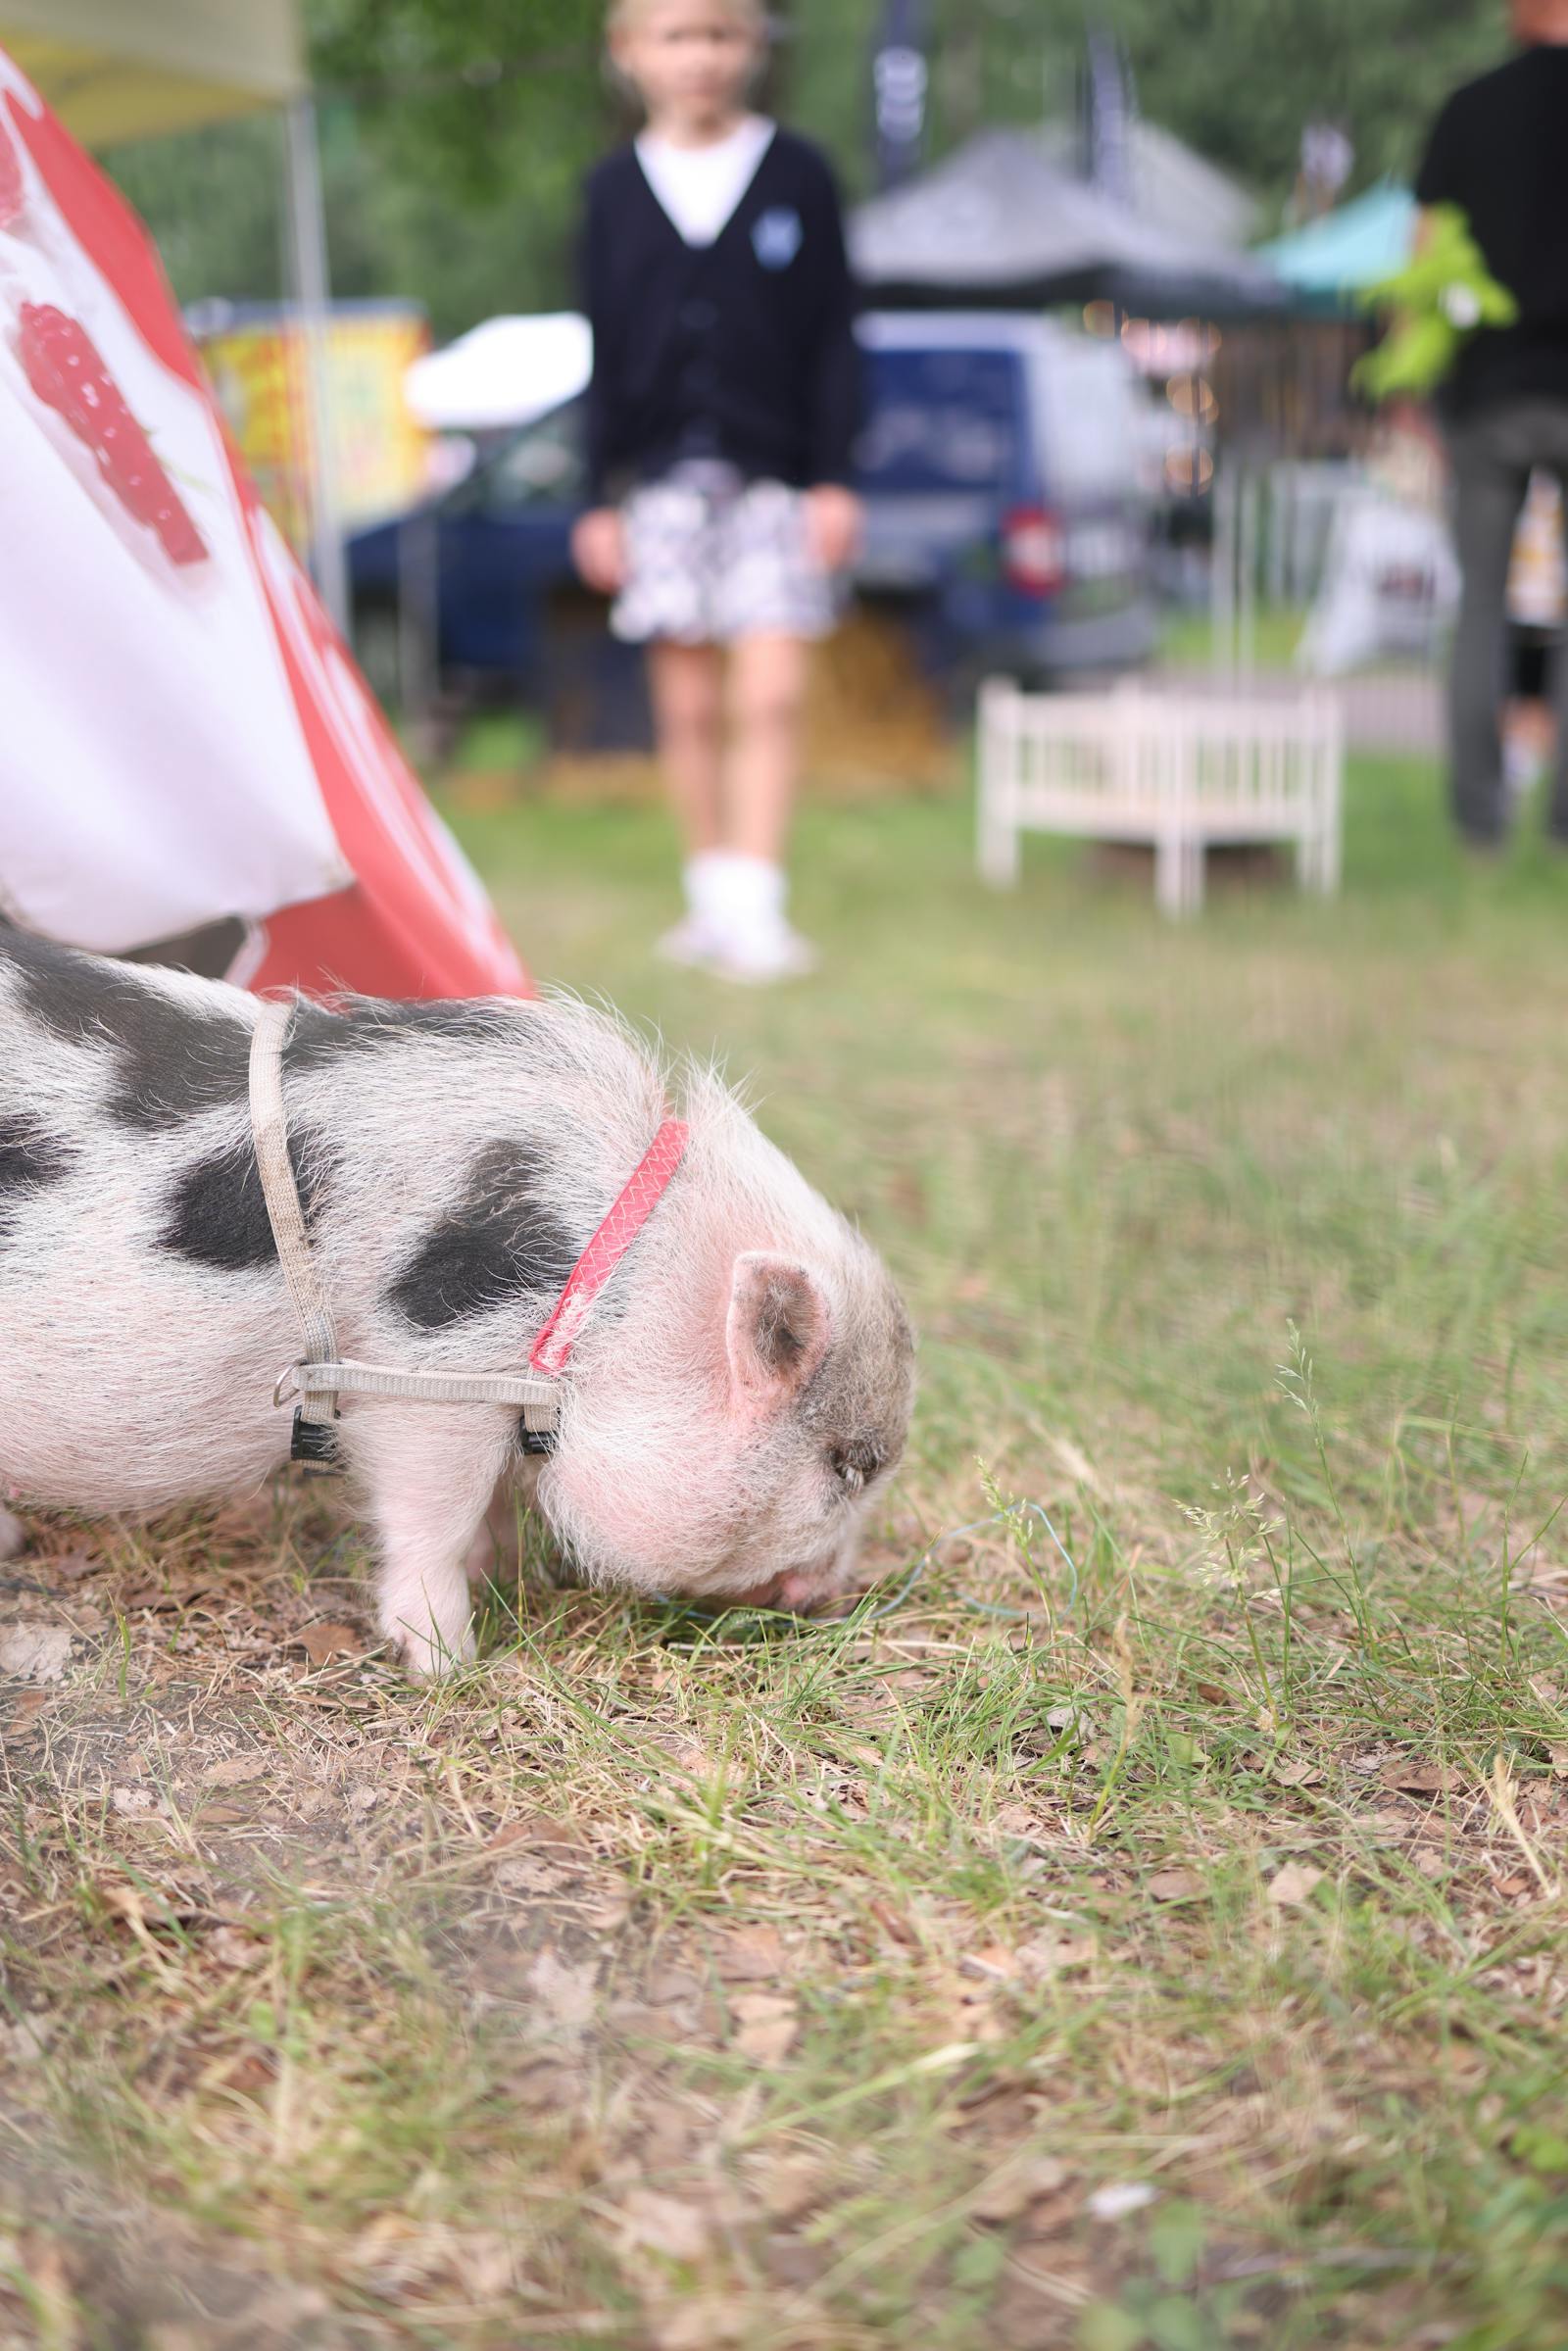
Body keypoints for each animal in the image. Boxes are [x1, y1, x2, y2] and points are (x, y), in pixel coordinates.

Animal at [0, 922, 914, 1672]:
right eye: (849, 1466)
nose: (829, 1594)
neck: (614, 1293)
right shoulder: (427, 1379)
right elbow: (432, 1515)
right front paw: (448, 1660)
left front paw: (494, 1569)